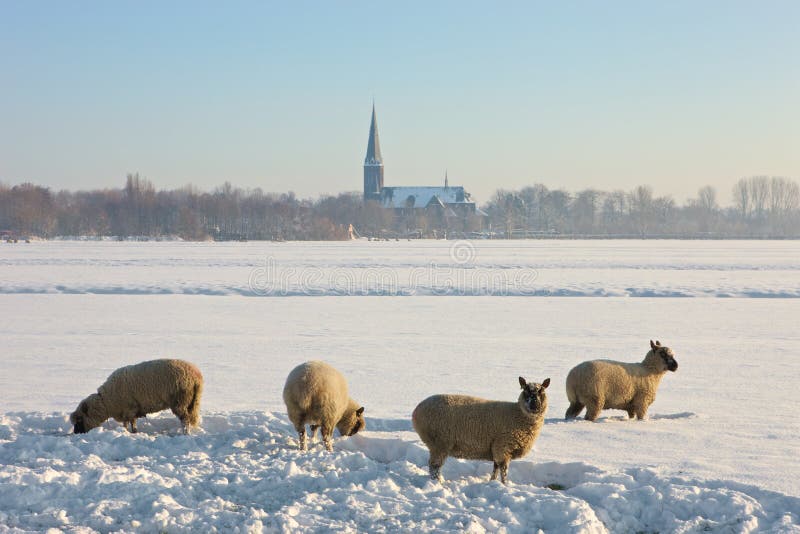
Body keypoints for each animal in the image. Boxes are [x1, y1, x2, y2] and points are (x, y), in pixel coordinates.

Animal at [69, 360, 203, 436]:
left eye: (80, 420)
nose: (75, 433)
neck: (107, 402)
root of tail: (196, 377)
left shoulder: (129, 409)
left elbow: (128, 423)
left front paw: (127, 432)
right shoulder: (130, 410)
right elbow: (132, 423)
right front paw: (133, 432)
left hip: (180, 401)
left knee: (185, 420)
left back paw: (185, 434)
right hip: (192, 401)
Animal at [412, 376, 552, 486]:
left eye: (541, 391)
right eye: (525, 391)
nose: (534, 405)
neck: (518, 414)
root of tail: (416, 411)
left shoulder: (496, 447)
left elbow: (496, 467)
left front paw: (492, 482)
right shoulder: (503, 446)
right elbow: (503, 470)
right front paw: (504, 485)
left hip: (437, 444)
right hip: (439, 443)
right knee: (434, 466)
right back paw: (438, 482)